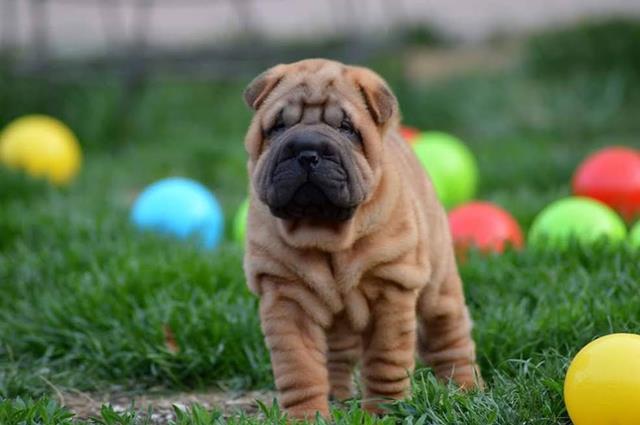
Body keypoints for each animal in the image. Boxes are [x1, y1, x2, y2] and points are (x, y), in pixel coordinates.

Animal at [242, 58, 482, 418]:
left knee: (449, 335)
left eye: (346, 128)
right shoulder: (286, 296)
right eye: (278, 127)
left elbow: (385, 358)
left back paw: (465, 390)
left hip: (439, 286)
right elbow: (299, 366)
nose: (307, 151)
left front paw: (384, 411)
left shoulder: (391, 288)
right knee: (337, 355)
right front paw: (306, 416)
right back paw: (337, 398)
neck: (326, 232)